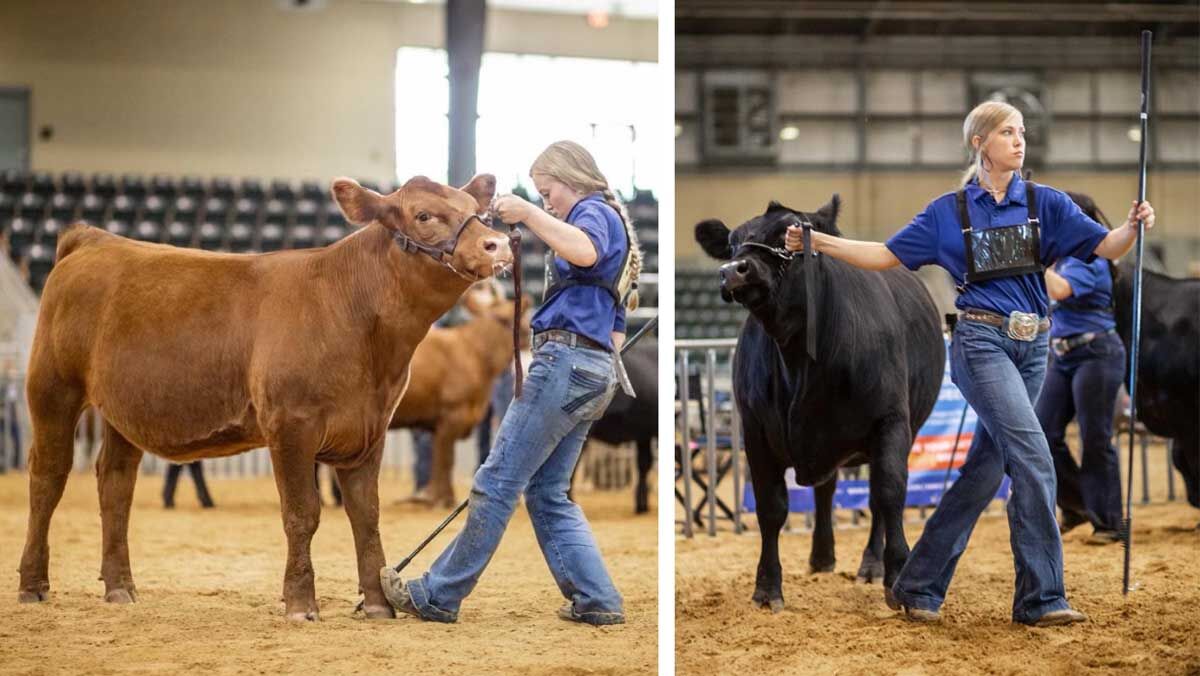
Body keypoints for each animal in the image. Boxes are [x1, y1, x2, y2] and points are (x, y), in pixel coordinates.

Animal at [17, 175, 511, 622]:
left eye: (477, 209)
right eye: (424, 215)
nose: (498, 244)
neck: (355, 312)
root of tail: (93, 239)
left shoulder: (370, 428)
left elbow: (366, 516)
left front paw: (377, 604)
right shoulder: (290, 425)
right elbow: (302, 513)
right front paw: (300, 604)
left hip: (124, 410)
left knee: (116, 483)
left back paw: (120, 587)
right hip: (52, 388)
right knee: (48, 477)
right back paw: (33, 585)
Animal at [388, 280, 532, 508]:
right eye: (504, 318)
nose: (528, 301)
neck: (474, 354)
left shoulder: (438, 425)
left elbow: (440, 460)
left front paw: (438, 496)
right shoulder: (451, 415)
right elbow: (446, 460)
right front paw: (442, 499)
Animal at [694, 196, 944, 612]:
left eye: (789, 232)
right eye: (731, 244)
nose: (734, 271)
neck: (799, 357)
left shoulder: (892, 421)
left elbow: (890, 493)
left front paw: (897, 577)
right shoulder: (755, 431)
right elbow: (771, 507)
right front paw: (767, 588)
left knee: (874, 498)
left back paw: (871, 565)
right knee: (826, 489)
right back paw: (822, 556)